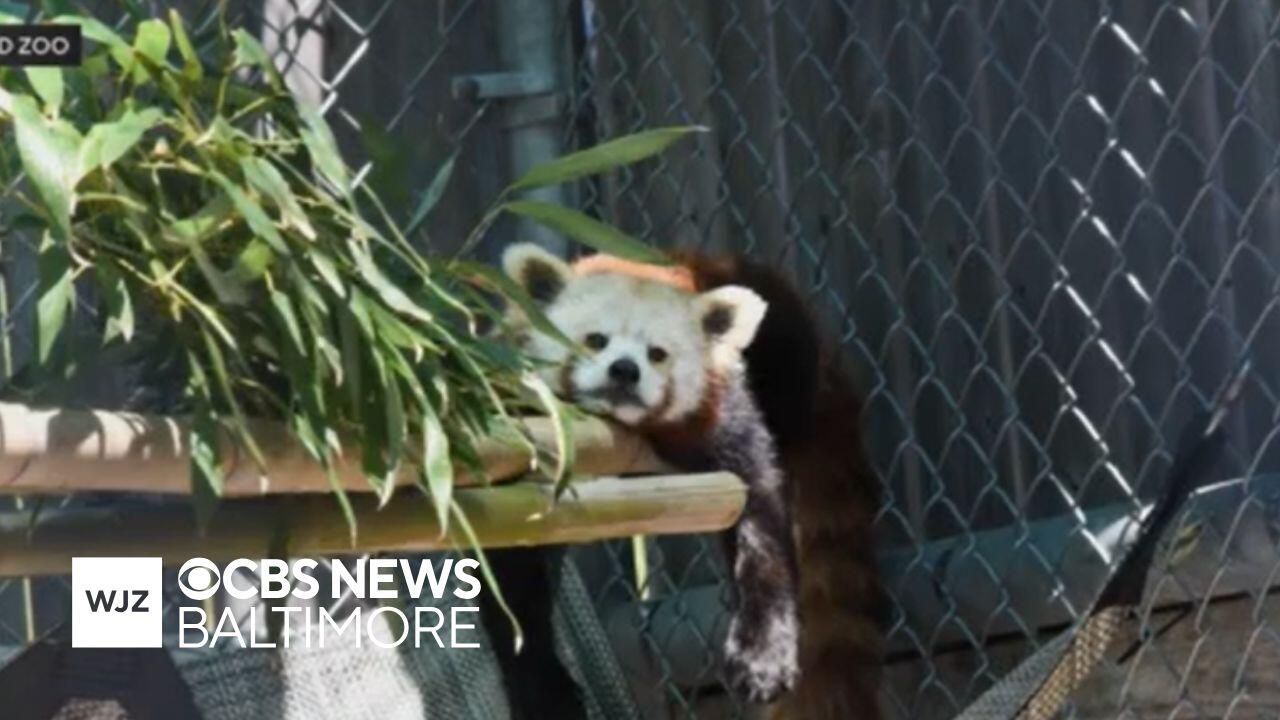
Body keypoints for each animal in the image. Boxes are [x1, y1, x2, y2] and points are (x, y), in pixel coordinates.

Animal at [501, 243, 884, 718]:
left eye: (658, 353)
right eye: (595, 340)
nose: (624, 370)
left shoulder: (722, 412)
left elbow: (763, 524)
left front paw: (764, 658)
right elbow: (515, 583)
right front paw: (541, 687)